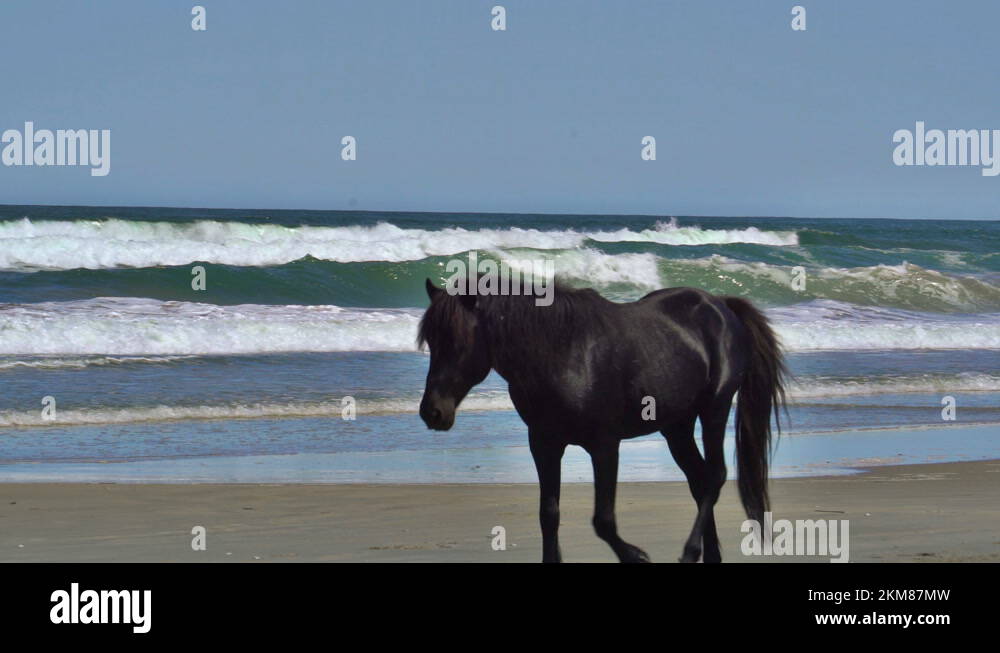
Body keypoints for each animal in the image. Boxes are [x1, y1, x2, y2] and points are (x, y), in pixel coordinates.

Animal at [417, 278, 787, 563]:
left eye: (457, 341)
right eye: (431, 341)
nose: (432, 412)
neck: (563, 355)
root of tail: (720, 305)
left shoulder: (604, 446)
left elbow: (603, 520)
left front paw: (637, 556)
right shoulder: (544, 444)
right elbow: (548, 514)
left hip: (714, 408)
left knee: (714, 476)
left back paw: (690, 551)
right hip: (676, 427)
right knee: (699, 480)